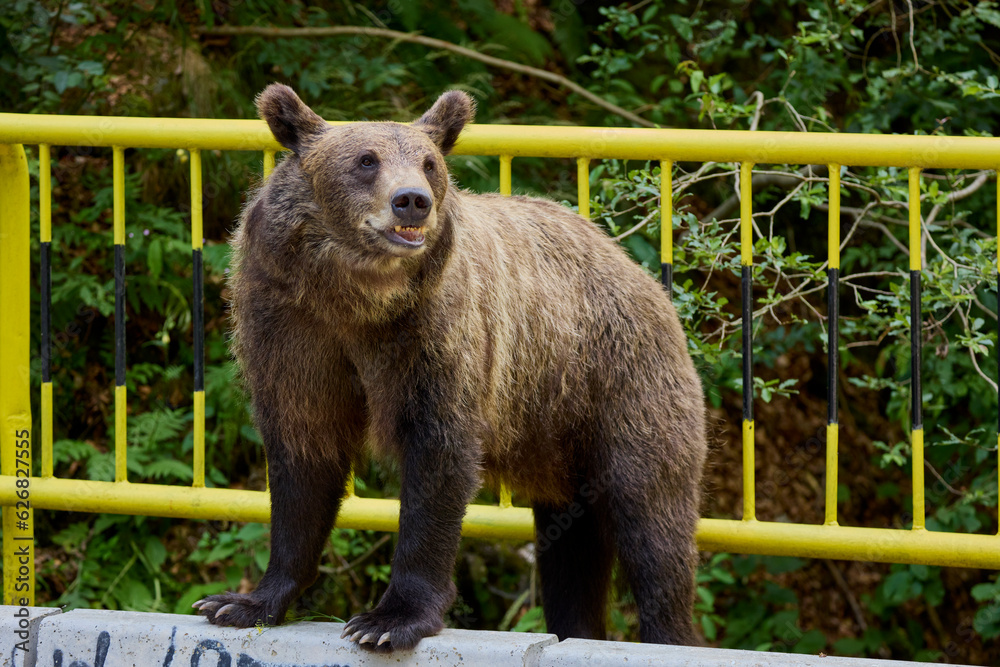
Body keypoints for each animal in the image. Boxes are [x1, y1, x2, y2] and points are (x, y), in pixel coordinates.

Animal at [192, 83, 707, 652]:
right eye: (365, 160)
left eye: (429, 162)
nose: (412, 200)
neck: (355, 297)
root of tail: (647, 281)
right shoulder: (290, 329)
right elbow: (303, 459)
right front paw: (239, 602)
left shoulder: (437, 338)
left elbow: (437, 459)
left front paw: (388, 620)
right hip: (561, 435)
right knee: (573, 551)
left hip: (622, 385)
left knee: (653, 526)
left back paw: (667, 632)